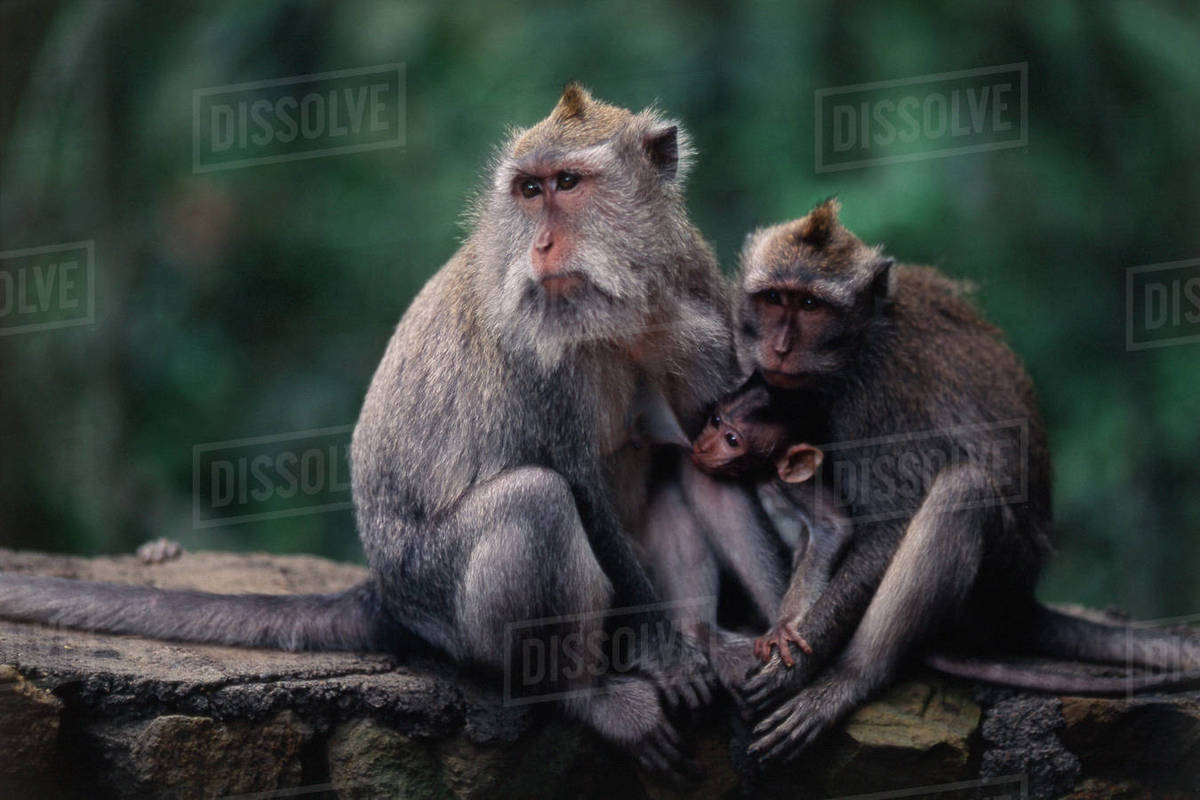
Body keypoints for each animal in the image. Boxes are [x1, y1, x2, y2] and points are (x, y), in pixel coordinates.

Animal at [0, 85, 745, 775]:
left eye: (568, 183)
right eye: (529, 190)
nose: (541, 244)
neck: (623, 307)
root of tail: (385, 593)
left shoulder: (702, 298)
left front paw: (703, 637)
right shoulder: (537, 356)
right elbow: (579, 486)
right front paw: (664, 650)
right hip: (439, 597)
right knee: (535, 501)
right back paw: (579, 694)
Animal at [731, 198, 1200, 764]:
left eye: (810, 305)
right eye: (773, 299)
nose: (780, 347)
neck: (857, 342)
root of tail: (1024, 602)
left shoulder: (876, 393)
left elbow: (888, 525)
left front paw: (800, 659)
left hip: (998, 580)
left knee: (965, 490)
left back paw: (854, 677)